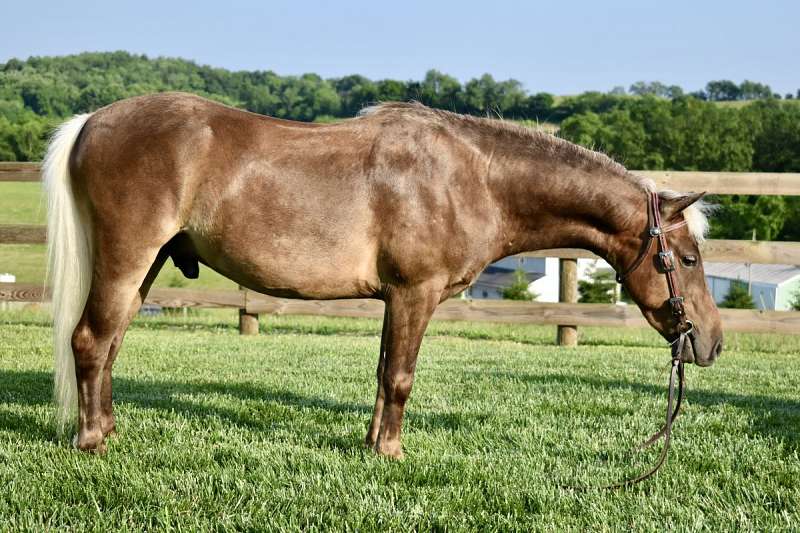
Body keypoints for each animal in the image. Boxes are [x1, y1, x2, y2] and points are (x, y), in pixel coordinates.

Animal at [43, 93, 723, 456]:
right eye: (688, 260)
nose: (712, 342)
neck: (474, 178)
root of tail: (92, 121)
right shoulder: (414, 293)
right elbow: (399, 377)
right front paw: (391, 451)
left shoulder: (397, 299)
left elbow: (381, 373)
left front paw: (373, 444)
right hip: (128, 257)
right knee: (91, 340)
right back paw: (91, 441)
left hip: (147, 266)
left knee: (110, 344)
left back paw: (107, 429)